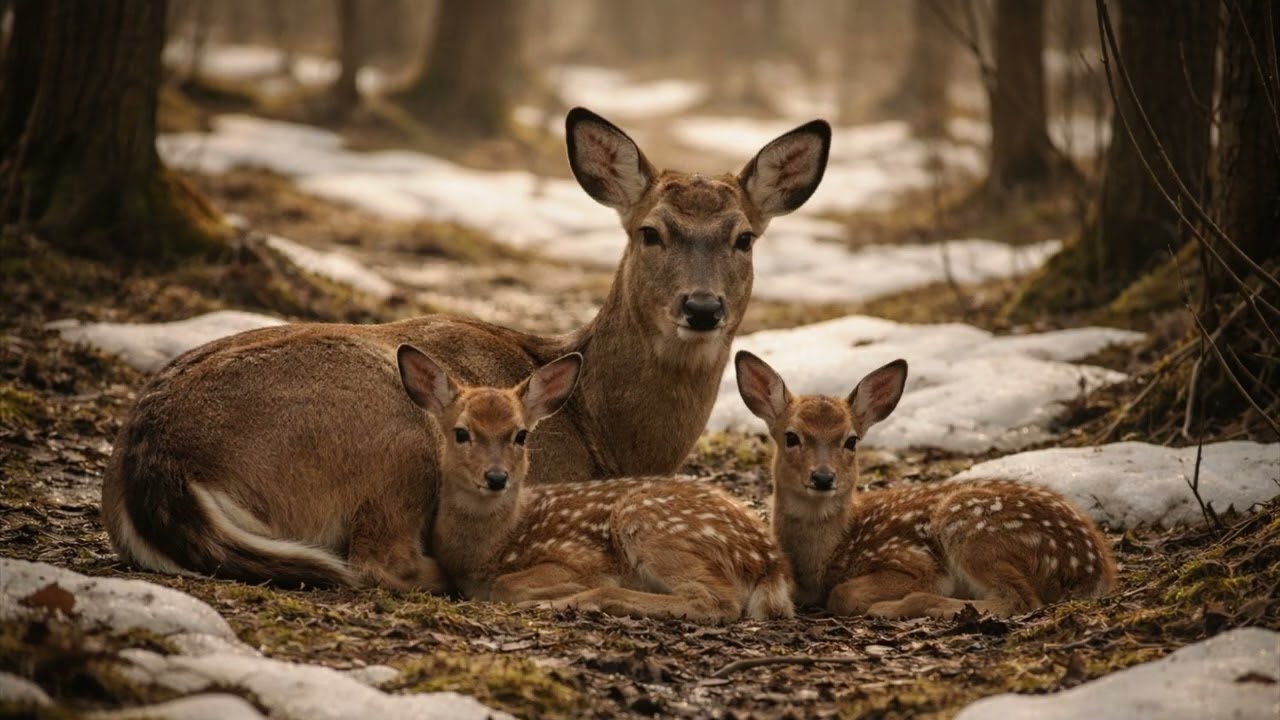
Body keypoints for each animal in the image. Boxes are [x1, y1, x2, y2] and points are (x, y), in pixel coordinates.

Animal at [100, 107, 832, 589]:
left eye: (744, 238)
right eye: (651, 232)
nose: (702, 308)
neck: (605, 434)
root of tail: (158, 460)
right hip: (392, 434)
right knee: (380, 562)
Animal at [398, 345, 794, 622]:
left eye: (521, 435)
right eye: (461, 432)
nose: (496, 477)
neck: (493, 546)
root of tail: (769, 563)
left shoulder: (578, 556)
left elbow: (507, 584)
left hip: (649, 522)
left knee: (716, 601)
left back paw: (572, 601)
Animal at [734, 351, 1116, 619]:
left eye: (851, 440)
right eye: (791, 437)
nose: (823, 477)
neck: (826, 557)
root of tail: (1093, 566)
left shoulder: (915, 561)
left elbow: (842, 593)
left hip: (972, 528)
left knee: (1020, 599)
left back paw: (902, 608)